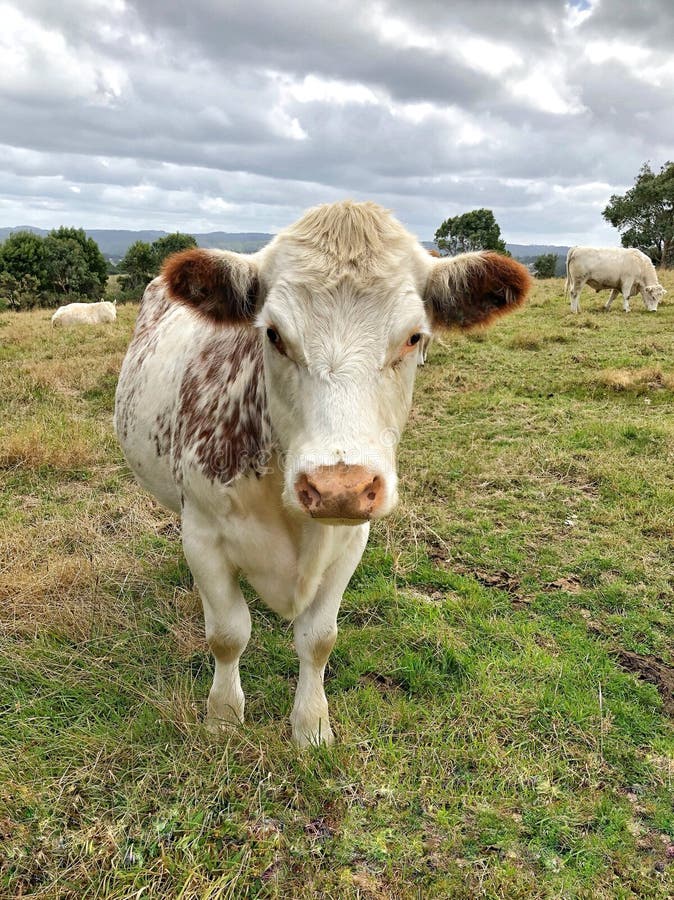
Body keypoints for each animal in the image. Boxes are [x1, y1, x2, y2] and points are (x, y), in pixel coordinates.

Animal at [114, 201, 531, 746]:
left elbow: (318, 639)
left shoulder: (350, 540)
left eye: (413, 338)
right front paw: (223, 717)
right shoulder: (203, 534)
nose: (338, 488)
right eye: (273, 334)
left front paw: (311, 725)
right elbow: (227, 633)